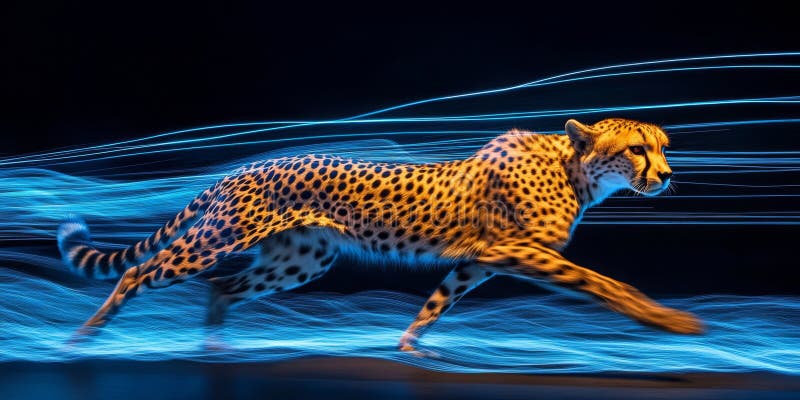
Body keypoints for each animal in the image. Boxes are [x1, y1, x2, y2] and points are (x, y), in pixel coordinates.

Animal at [57, 117, 703, 352]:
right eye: (637, 149)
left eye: (663, 146)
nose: (669, 175)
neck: (574, 169)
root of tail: (240, 167)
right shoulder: (513, 250)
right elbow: (600, 282)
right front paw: (664, 319)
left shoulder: (481, 260)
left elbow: (437, 304)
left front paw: (409, 347)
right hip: (217, 238)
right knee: (140, 271)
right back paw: (82, 336)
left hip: (303, 260)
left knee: (223, 288)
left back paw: (215, 347)